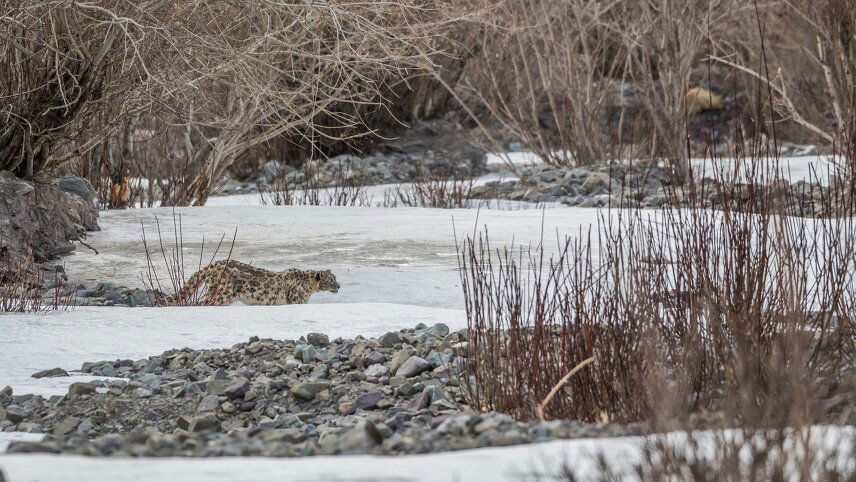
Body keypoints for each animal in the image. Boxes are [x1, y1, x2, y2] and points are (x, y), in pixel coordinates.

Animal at [162, 260, 340, 306]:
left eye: (336, 277)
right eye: (331, 279)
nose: (339, 286)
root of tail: (213, 265)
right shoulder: (298, 301)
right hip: (222, 293)